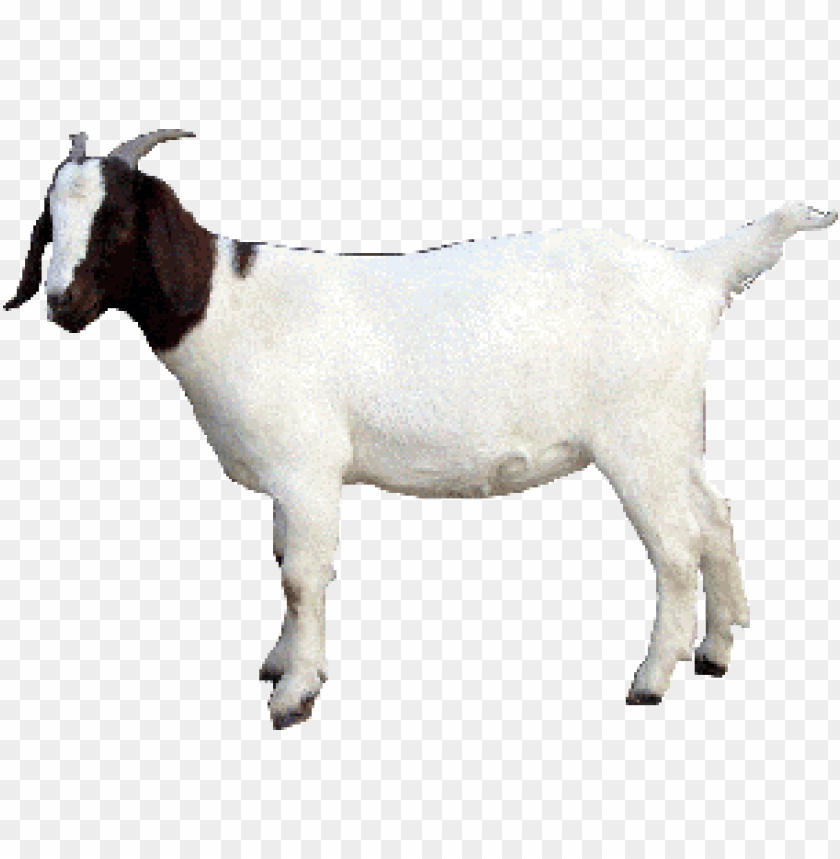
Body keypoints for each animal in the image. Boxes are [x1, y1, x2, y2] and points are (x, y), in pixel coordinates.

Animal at [7, 130, 837, 729]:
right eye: (51, 217)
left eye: (117, 218)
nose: (61, 302)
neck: (229, 306)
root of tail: (692, 274)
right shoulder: (287, 479)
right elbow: (284, 565)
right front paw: (280, 660)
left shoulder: (308, 469)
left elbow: (301, 576)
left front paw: (294, 694)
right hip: (675, 430)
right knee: (715, 516)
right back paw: (718, 649)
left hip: (637, 439)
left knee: (674, 550)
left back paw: (653, 678)